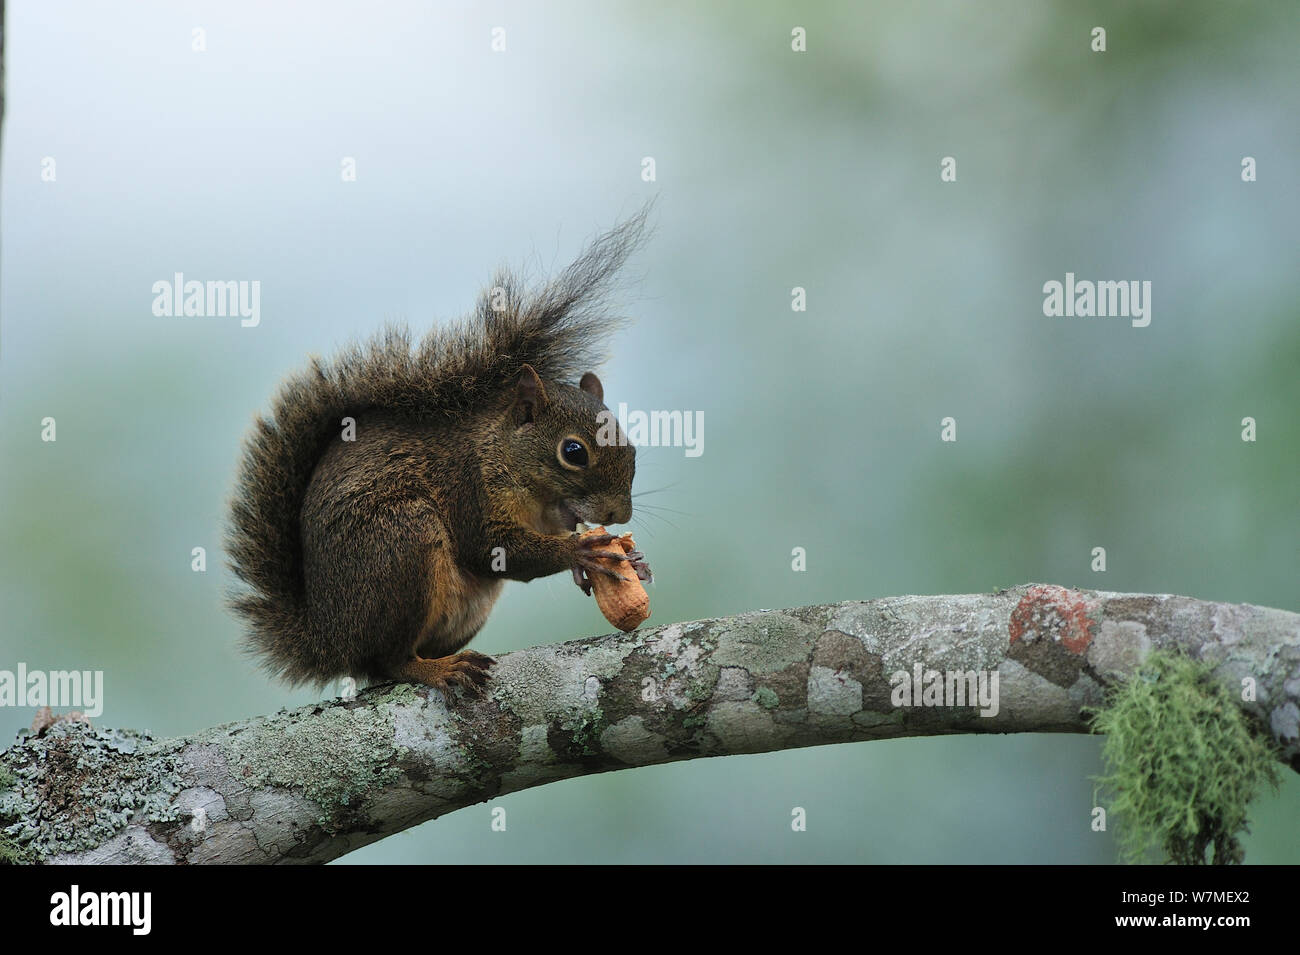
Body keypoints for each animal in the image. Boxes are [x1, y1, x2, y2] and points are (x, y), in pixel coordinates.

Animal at [226, 210, 653, 696]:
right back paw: (437, 670)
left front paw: (633, 561)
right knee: (388, 661)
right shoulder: (469, 484)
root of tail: (331, 638)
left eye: (631, 446)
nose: (619, 514)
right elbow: (491, 548)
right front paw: (580, 552)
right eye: (574, 451)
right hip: (399, 539)